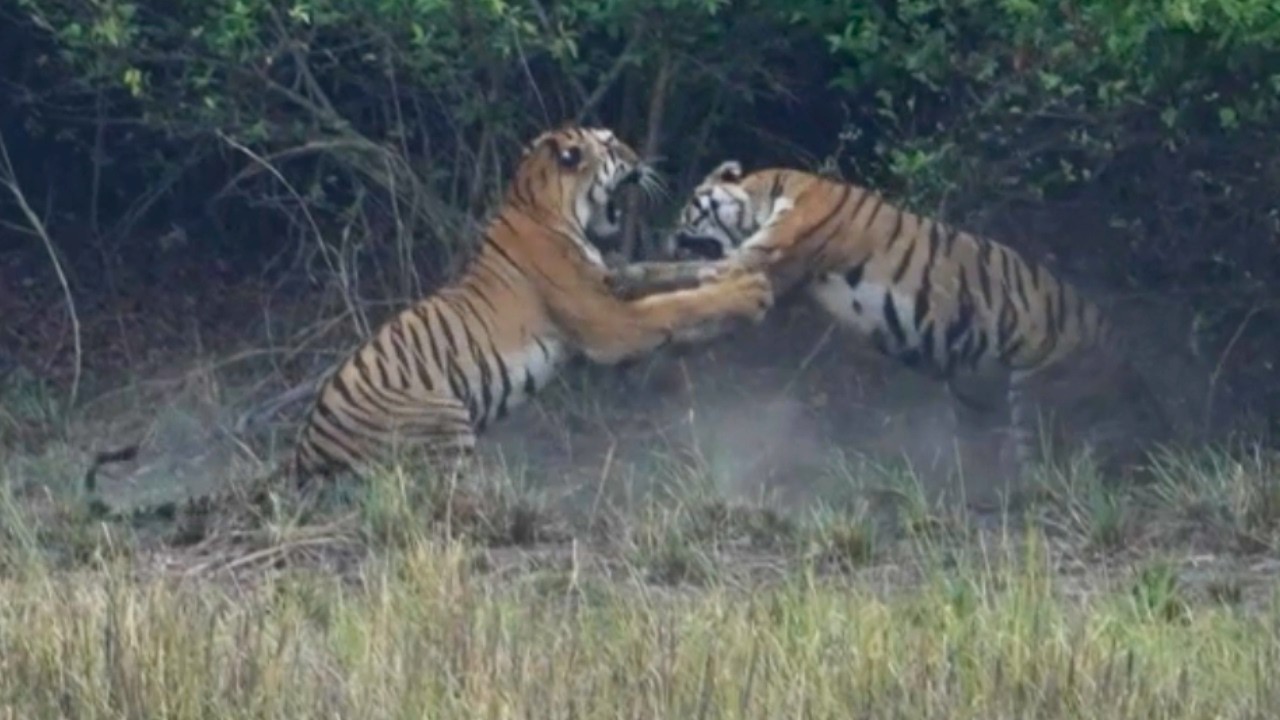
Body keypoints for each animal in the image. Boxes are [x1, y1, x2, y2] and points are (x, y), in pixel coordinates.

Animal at [84, 128, 774, 524]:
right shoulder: (606, 322)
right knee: (434, 496)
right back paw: (509, 507)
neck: (545, 201)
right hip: (443, 414)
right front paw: (744, 290)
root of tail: (303, 449)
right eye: (611, 147)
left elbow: (669, 274)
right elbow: (672, 307)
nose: (638, 156)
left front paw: (733, 270)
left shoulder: (615, 280)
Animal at [611, 159, 1174, 486]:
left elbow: (690, 281)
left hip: (1038, 393)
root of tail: (1122, 349)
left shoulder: (759, 261)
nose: (665, 235)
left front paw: (627, 278)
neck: (767, 193)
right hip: (974, 393)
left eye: (688, 210)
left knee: (1054, 460)